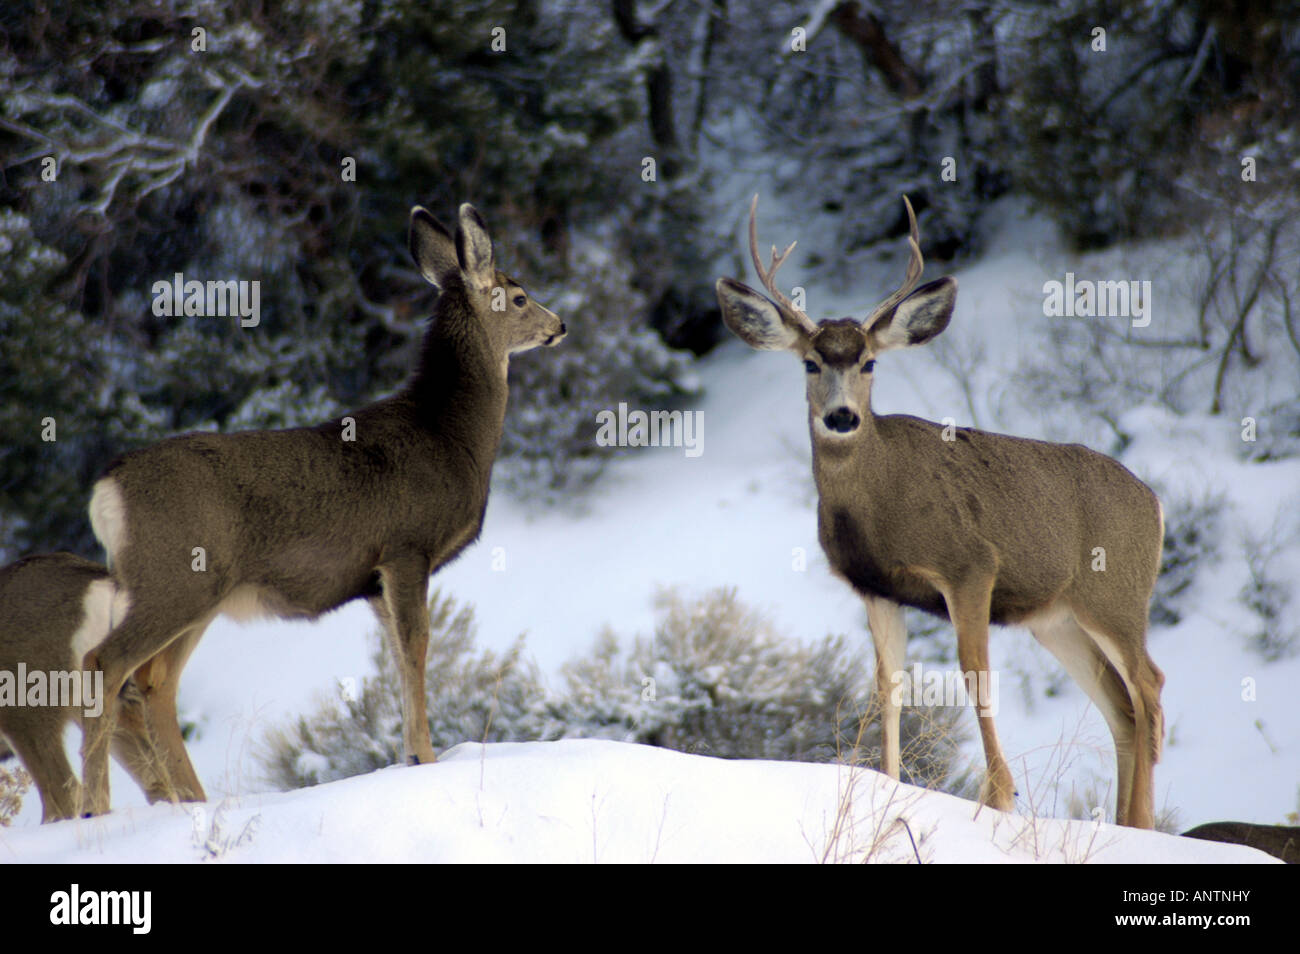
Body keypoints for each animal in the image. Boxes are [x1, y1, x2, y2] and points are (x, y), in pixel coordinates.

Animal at [77, 202, 565, 816]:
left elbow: (397, 659)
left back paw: (190, 800)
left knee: (154, 682)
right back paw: (95, 805)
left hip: (198, 589)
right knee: (106, 664)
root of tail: (106, 490)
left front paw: (409, 757)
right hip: (173, 576)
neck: (451, 438)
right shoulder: (406, 549)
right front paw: (427, 757)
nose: (559, 324)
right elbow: (418, 649)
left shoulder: (375, 581)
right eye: (519, 296)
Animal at [715, 195, 1166, 828]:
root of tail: (1154, 502)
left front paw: (999, 795)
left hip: (1117, 595)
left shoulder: (970, 565)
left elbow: (974, 674)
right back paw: (1127, 823)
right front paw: (889, 783)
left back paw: (1143, 821)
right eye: (809, 363)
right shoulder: (877, 588)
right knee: (1121, 705)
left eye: (869, 362)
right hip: (1058, 619)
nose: (842, 417)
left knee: (1149, 685)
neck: (881, 505)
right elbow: (889, 685)